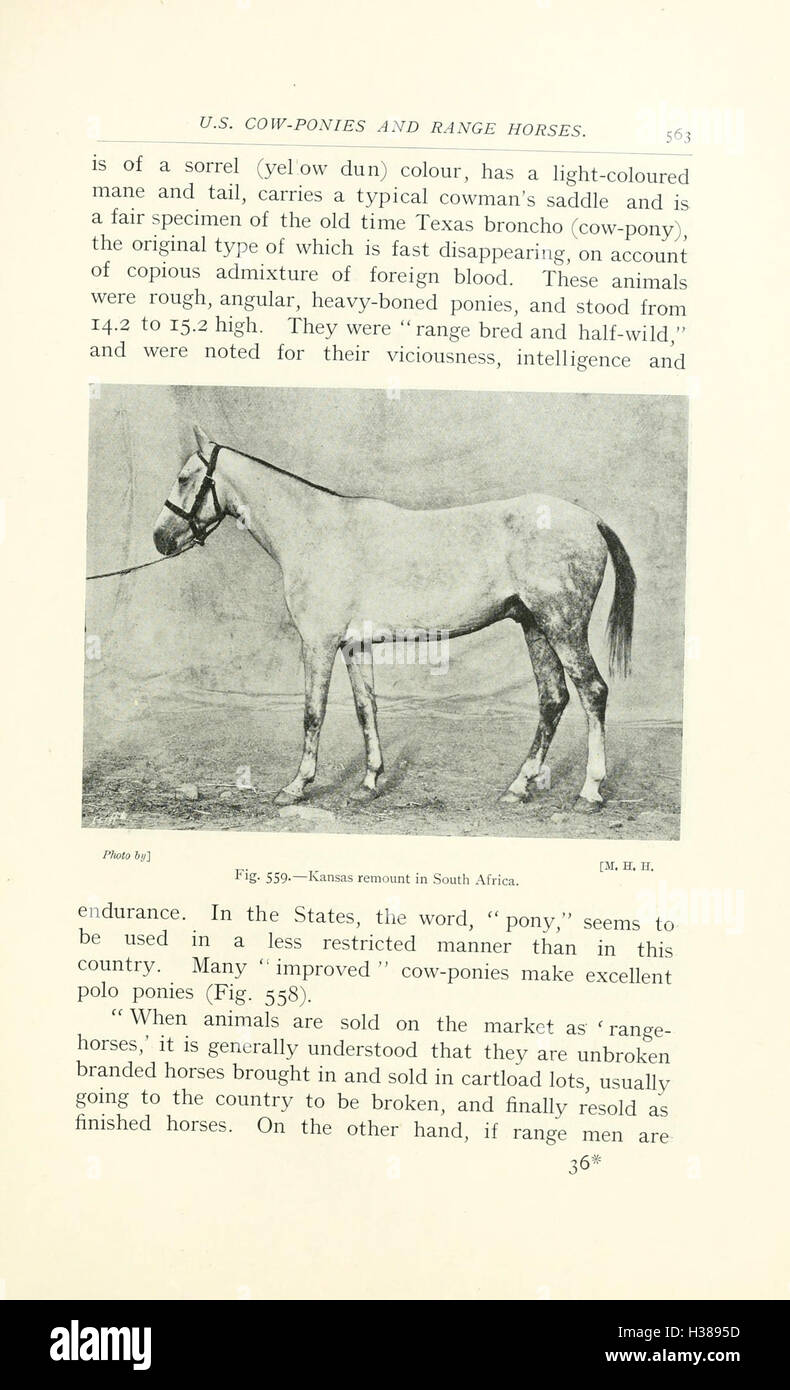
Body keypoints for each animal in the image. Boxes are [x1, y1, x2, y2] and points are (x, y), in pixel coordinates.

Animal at [153, 425, 635, 812]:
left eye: (183, 478)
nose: (160, 539)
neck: (314, 532)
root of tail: (592, 520)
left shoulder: (319, 643)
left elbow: (312, 712)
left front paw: (296, 786)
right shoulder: (354, 645)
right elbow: (366, 708)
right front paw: (368, 783)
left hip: (562, 626)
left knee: (592, 692)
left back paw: (589, 792)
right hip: (535, 626)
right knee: (553, 698)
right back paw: (518, 788)